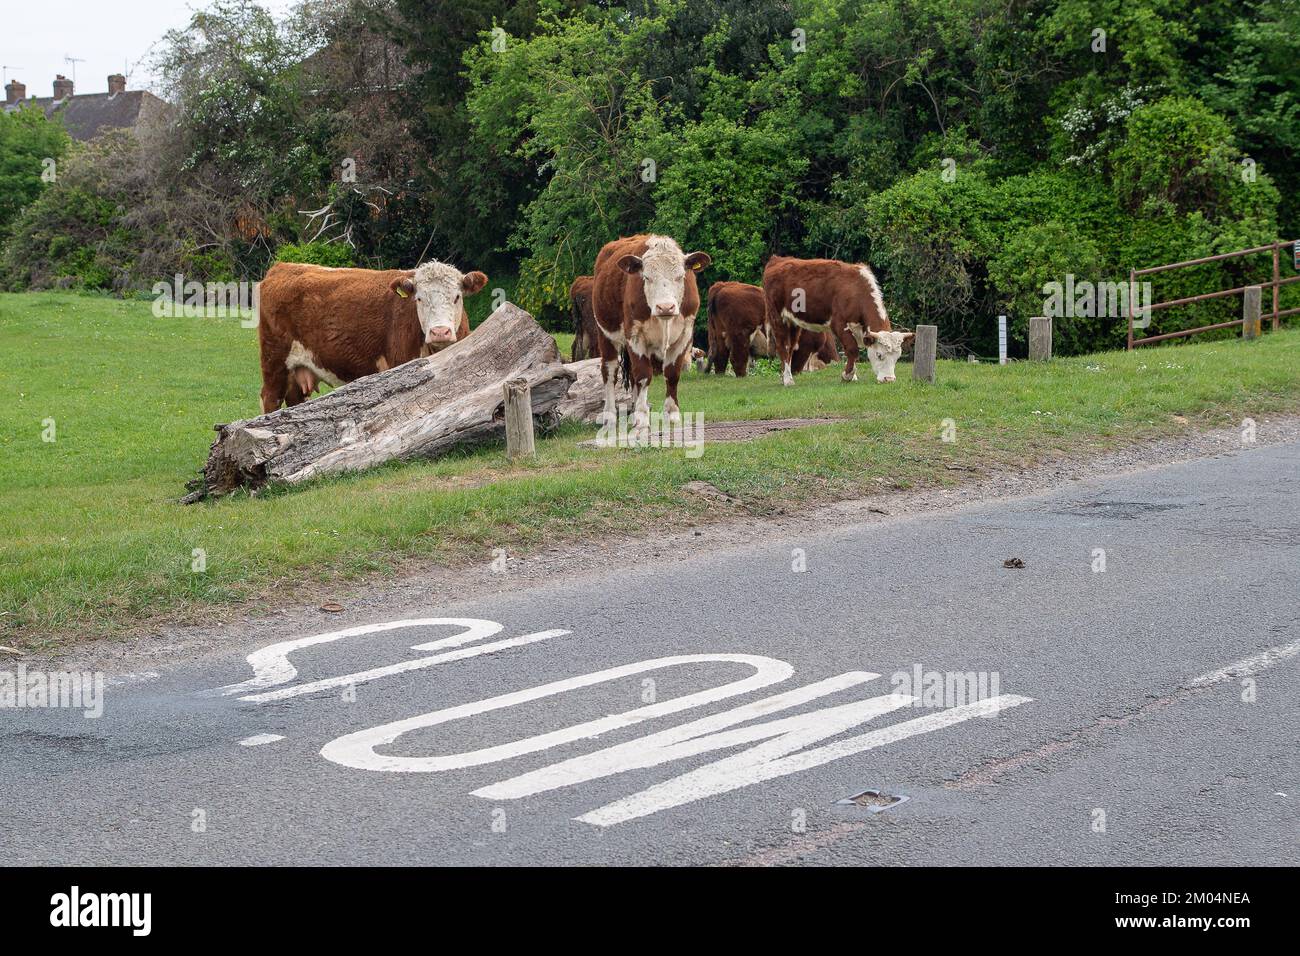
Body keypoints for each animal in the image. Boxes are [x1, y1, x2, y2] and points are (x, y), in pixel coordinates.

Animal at [256, 260, 487, 413]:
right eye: (419, 299)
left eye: (457, 297)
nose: (439, 332)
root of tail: (282, 267)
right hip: (274, 362)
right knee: (270, 399)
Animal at [591, 234, 711, 434]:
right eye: (646, 277)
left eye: (680, 276)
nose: (666, 307)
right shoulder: (635, 335)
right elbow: (643, 375)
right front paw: (641, 419)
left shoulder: (684, 336)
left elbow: (672, 374)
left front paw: (671, 414)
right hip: (605, 333)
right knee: (610, 372)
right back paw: (609, 418)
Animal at [706, 280, 837, 377]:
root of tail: (722, 285)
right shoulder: (805, 346)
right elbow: (794, 365)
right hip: (740, 334)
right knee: (737, 358)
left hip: (719, 333)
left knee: (721, 356)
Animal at [762, 255, 913, 386]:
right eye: (879, 355)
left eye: (898, 357)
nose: (889, 379)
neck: (856, 291)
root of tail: (777, 259)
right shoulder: (838, 323)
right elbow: (852, 349)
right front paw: (847, 375)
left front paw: (853, 375)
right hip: (777, 317)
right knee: (783, 346)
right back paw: (788, 380)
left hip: (793, 322)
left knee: (791, 346)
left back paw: (784, 376)